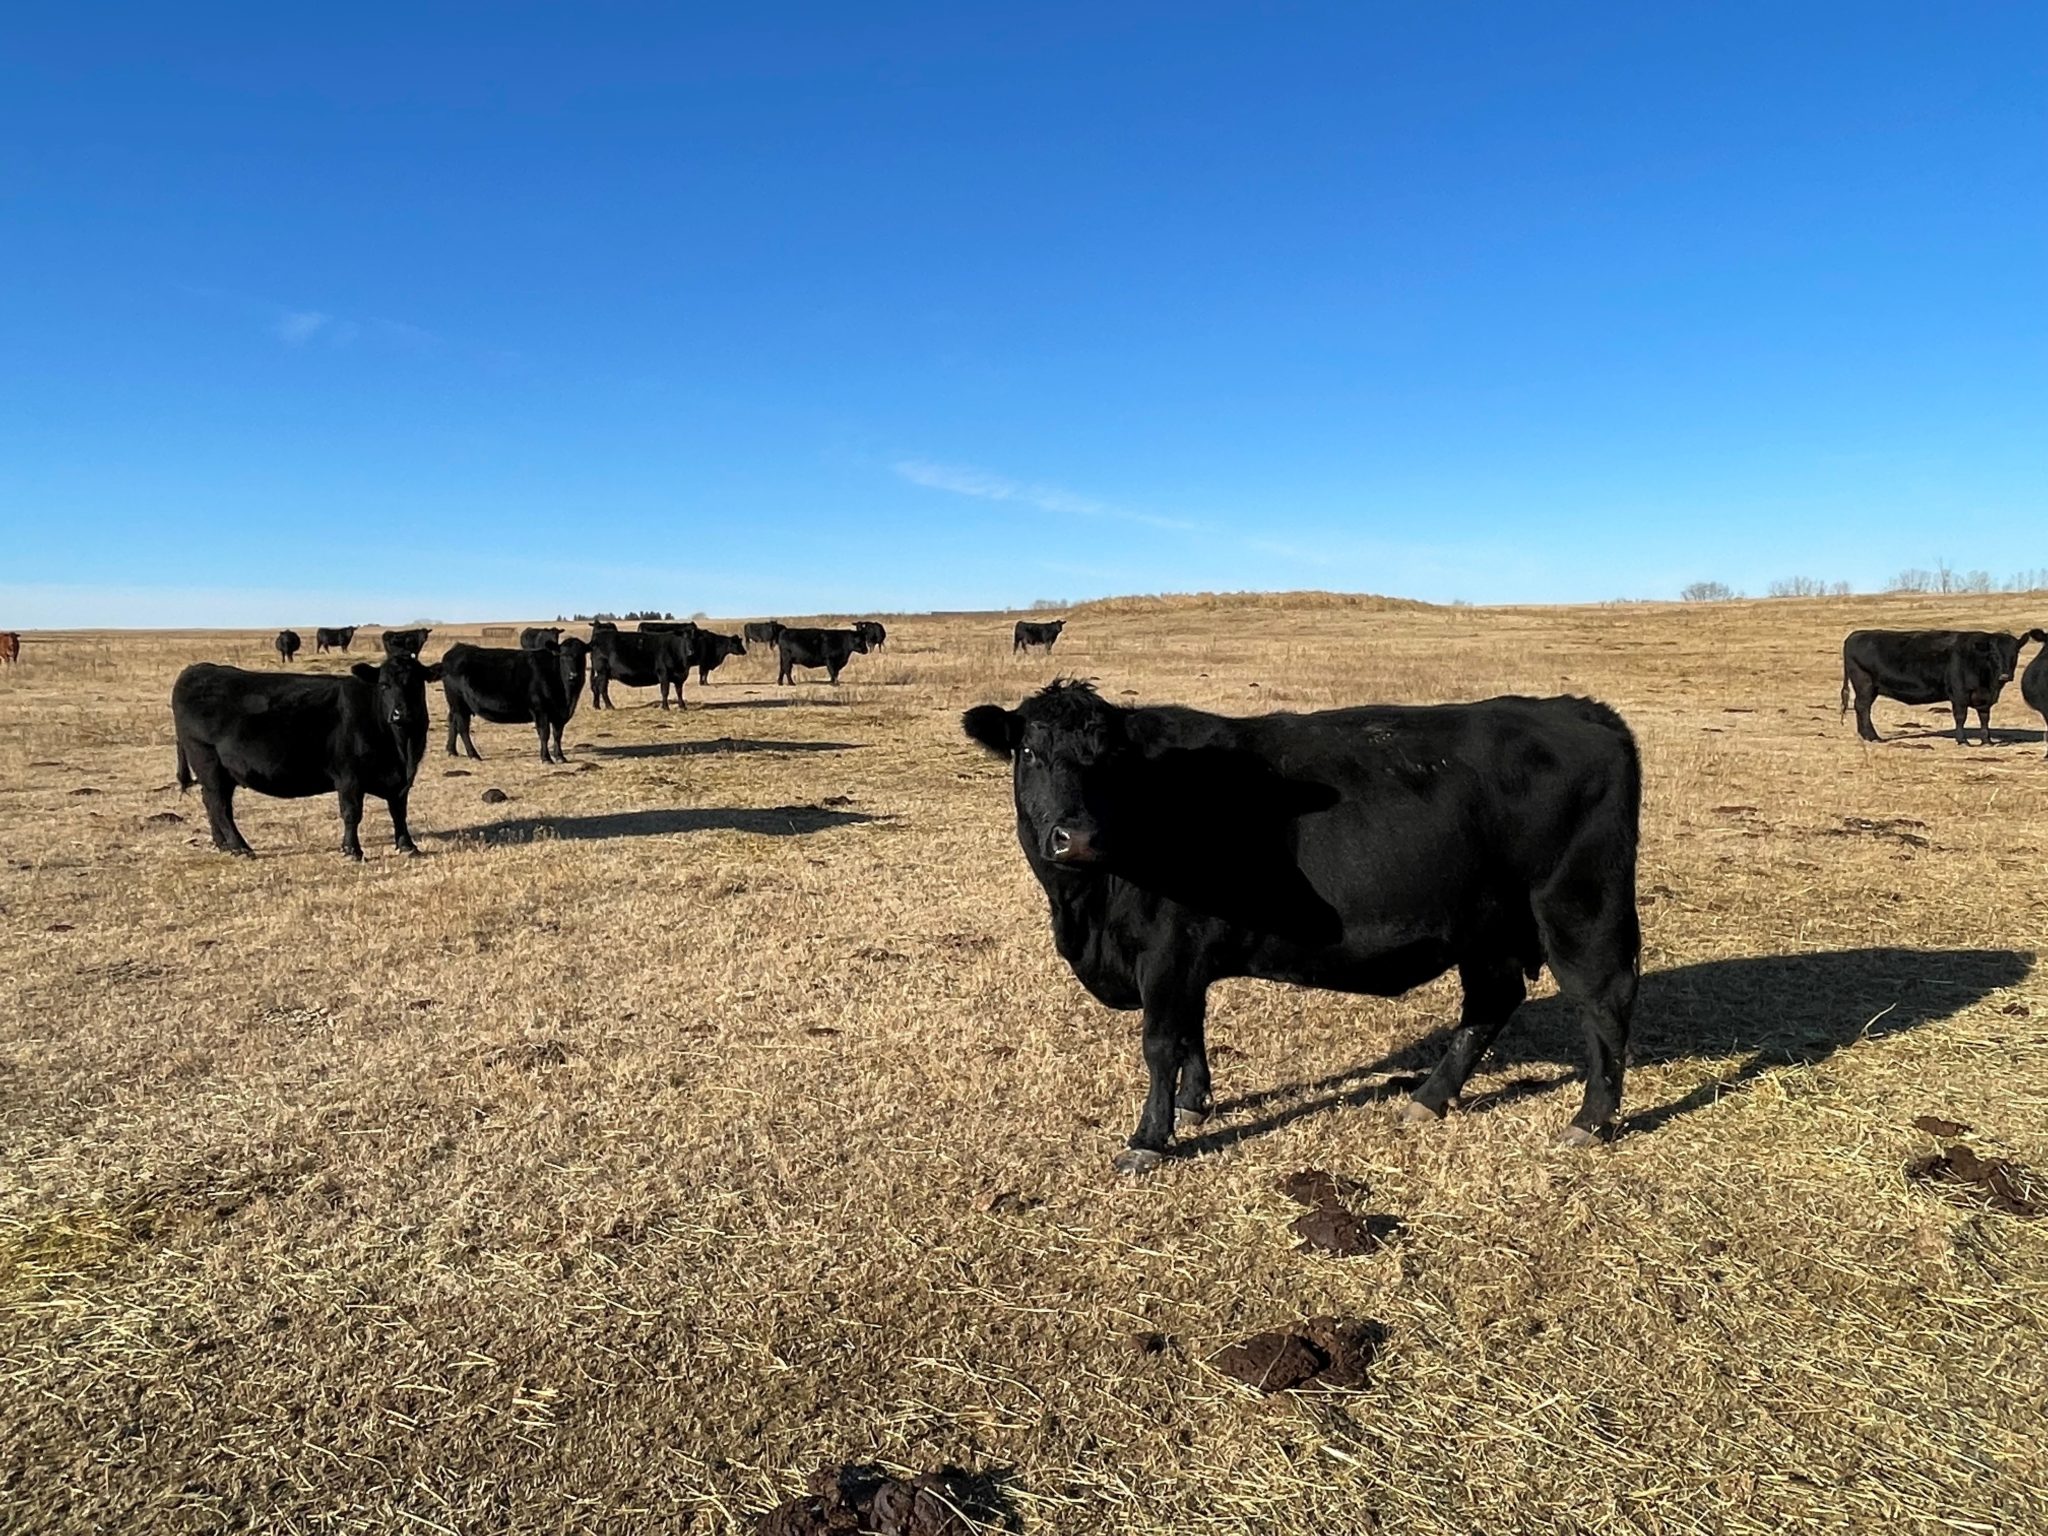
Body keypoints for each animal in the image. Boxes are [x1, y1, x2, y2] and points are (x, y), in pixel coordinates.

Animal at [171, 654, 443, 860]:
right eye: (384, 685)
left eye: (415, 684)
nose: (400, 713)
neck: (401, 748)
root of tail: (197, 669)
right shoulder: (349, 777)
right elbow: (352, 813)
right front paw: (352, 850)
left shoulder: (401, 781)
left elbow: (398, 811)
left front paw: (408, 846)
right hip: (209, 764)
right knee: (219, 806)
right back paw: (241, 847)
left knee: (210, 802)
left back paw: (222, 844)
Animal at [440, 641, 580, 763]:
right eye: (563, 655)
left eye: (581, 654)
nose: (573, 675)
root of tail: (458, 648)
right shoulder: (541, 710)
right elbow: (545, 733)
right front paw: (546, 758)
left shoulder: (559, 715)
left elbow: (558, 734)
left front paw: (560, 757)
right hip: (459, 705)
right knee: (463, 728)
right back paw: (473, 755)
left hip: (455, 706)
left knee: (452, 722)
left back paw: (452, 751)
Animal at [962, 681, 1642, 1174]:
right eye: (1030, 752)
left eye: (1106, 762)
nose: (1076, 838)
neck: (1086, 908)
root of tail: (1579, 709)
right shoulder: (1185, 959)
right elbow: (1190, 1032)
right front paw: (1195, 1105)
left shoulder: (1167, 952)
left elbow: (1159, 1042)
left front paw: (1149, 1139)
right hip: (1486, 927)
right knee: (1490, 1003)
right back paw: (1427, 1100)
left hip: (1578, 906)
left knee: (1603, 1003)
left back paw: (1591, 1121)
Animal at [1841, 629, 2032, 746]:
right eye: (1993, 654)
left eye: (2015, 654)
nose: (2005, 676)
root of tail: (1855, 635)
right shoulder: (1959, 694)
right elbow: (1960, 717)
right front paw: (1962, 741)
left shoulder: (1984, 698)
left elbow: (1985, 718)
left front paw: (1987, 741)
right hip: (1865, 684)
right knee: (1863, 707)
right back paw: (1873, 737)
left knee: (1861, 707)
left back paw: (1865, 736)